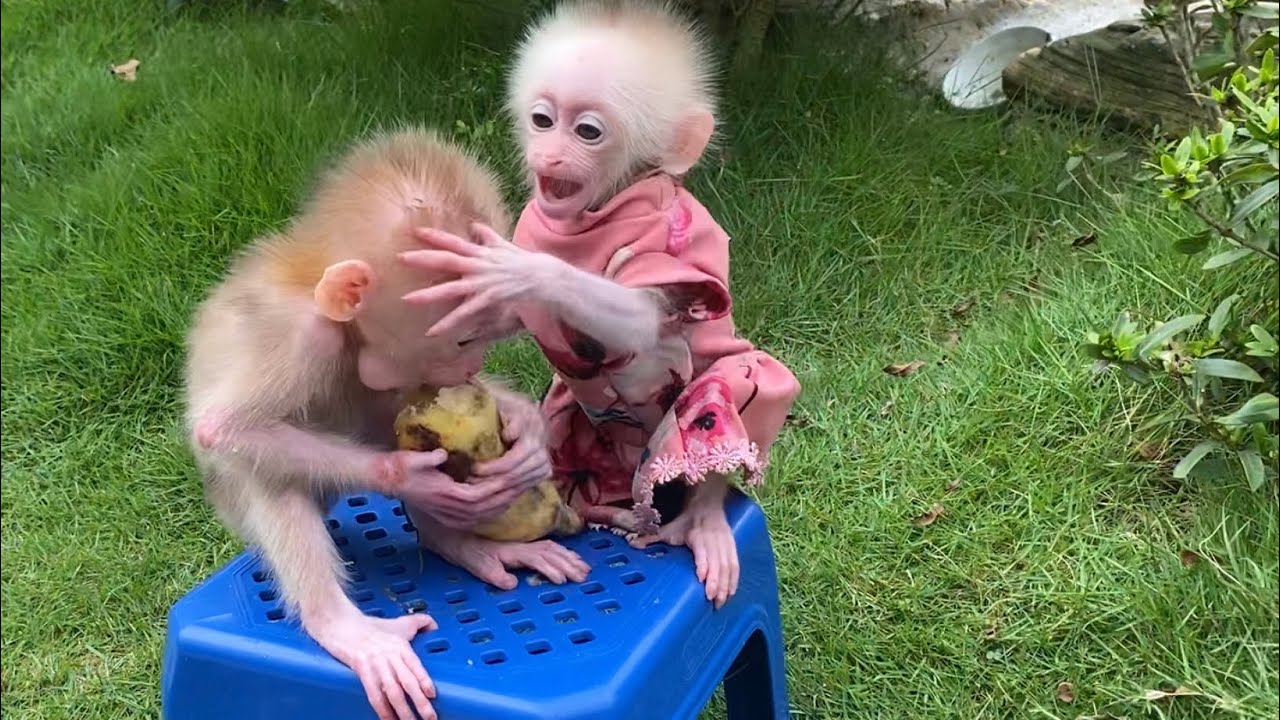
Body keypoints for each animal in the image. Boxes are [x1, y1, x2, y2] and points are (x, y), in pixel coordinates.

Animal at [183, 127, 589, 720]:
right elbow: (226, 429)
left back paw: (460, 542)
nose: (469, 365)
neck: (318, 294)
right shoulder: (300, 336)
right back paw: (341, 624)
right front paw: (412, 477)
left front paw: (526, 429)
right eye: (464, 338)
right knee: (267, 473)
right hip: (233, 505)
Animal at [398, 1, 801, 610]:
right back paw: (464, 542)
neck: (598, 212)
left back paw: (702, 514)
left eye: (587, 131)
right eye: (543, 120)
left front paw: (526, 272)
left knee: (726, 375)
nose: (550, 152)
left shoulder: (667, 224)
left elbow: (645, 318)